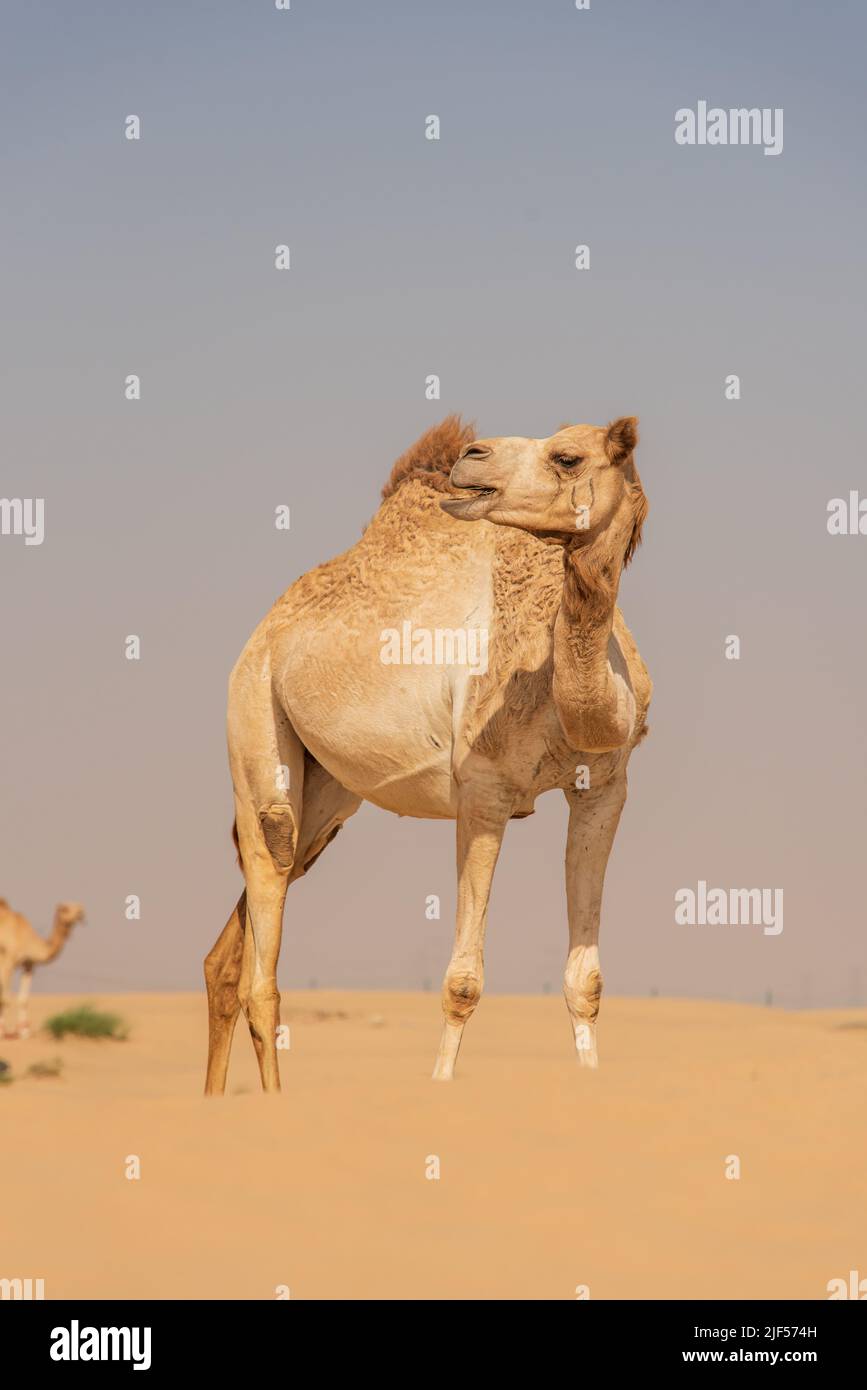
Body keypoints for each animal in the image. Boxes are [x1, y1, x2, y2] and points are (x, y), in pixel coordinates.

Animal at [0, 901, 86, 1038]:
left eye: (80, 909)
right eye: (64, 909)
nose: (80, 915)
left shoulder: (29, 965)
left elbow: (23, 999)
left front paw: (24, 1031)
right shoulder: (7, 961)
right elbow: (4, 998)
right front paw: (2, 1031)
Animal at [204, 414, 651, 1094]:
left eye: (568, 457)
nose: (473, 456)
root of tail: (265, 631)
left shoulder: (603, 787)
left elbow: (585, 981)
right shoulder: (484, 791)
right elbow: (462, 982)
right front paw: (441, 1087)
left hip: (328, 796)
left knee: (228, 958)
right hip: (253, 714)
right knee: (266, 925)